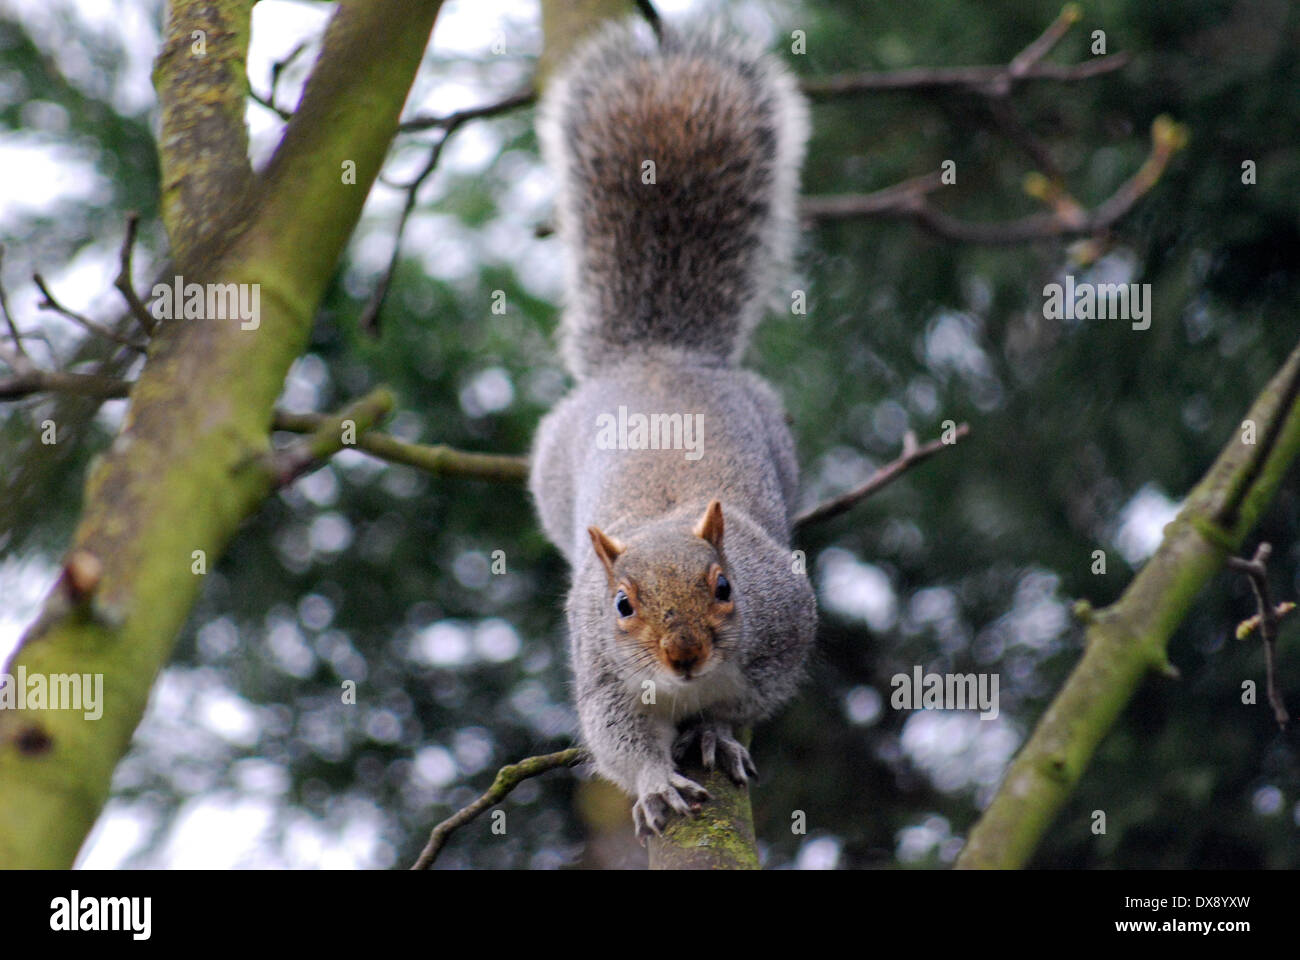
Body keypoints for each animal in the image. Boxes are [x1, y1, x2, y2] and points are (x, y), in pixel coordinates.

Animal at [529, 20, 816, 839]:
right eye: (623, 605)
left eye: (723, 587)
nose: (684, 653)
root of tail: (659, 355)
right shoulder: (601, 672)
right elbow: (619, 740)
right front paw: (657, 783)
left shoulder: (782, 634)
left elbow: (744, 702)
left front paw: (716, 732)